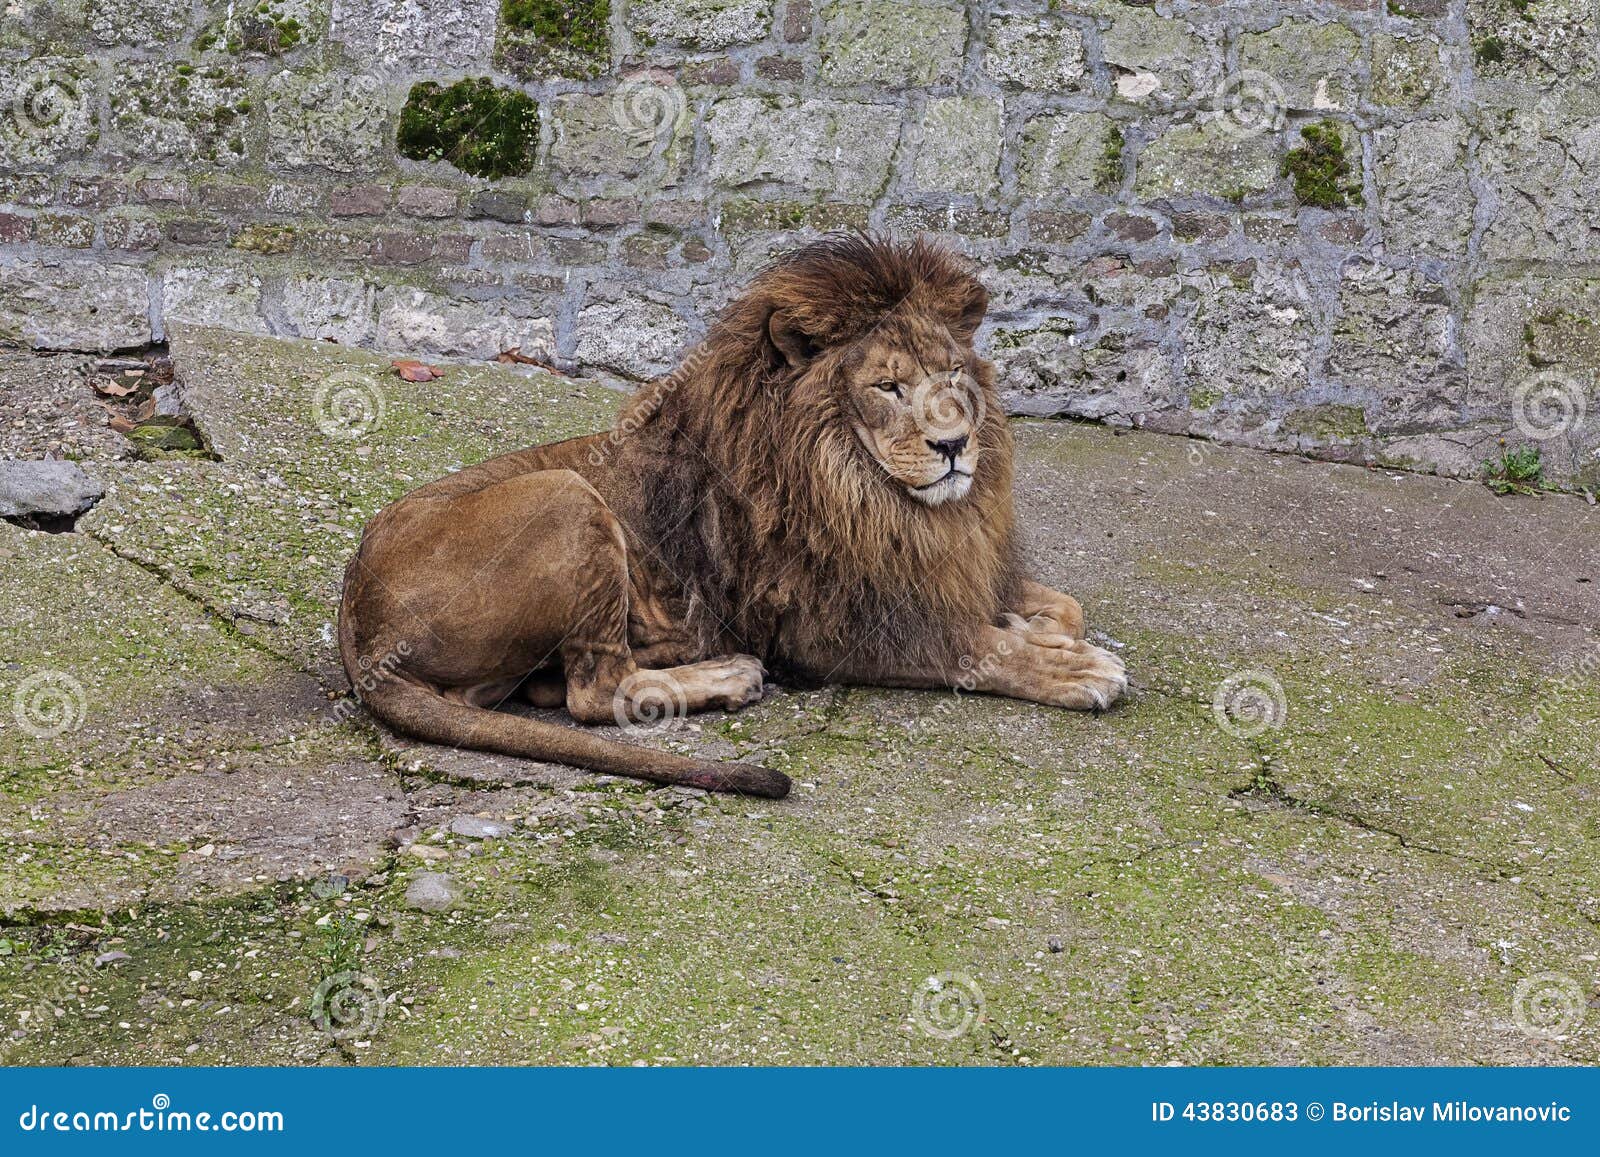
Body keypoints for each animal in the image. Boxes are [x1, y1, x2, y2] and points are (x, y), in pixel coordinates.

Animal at [338, 235, 1126, 799]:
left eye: (953, 375)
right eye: (888, 387)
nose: (956, 444)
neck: (876, 497)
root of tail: (357, 626)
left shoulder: (940, 568)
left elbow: (1063, 605)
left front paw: (1038, 626)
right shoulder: (824, 629)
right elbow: (969, 650)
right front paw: (1072, 666)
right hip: (565, 494)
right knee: (594, 692)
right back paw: (727, 674)